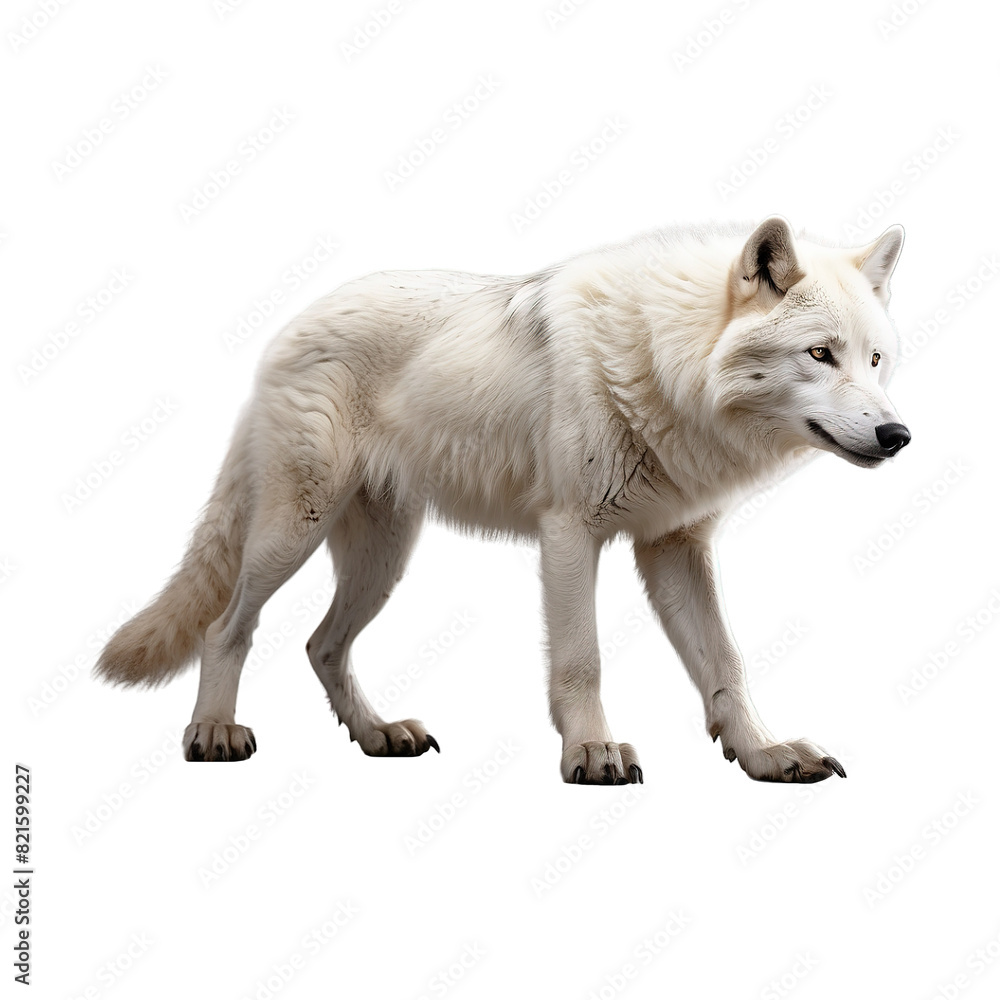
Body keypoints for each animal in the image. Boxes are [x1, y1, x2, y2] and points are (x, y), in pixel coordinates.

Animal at [96, 216, 909, 784]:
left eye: (876, 361)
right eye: (819, 354)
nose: (897, 434)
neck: (663, 360)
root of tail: (285, 331)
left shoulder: (674, 547)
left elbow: (728, 665)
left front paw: (766, 753)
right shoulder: (569, 533)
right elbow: (582, 659)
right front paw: (592, 752)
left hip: (383, 561)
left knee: (320, 643)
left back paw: (378, 734)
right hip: (292, 532)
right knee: (226, 627)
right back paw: (212, 733)